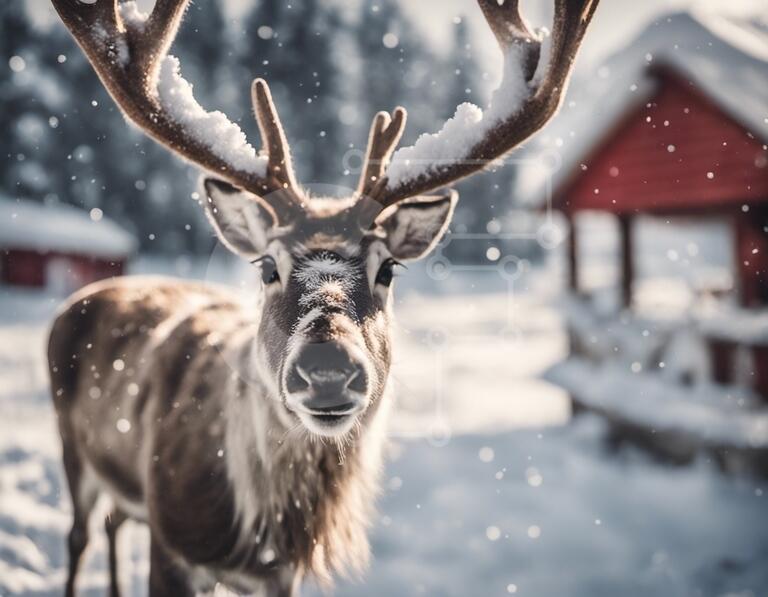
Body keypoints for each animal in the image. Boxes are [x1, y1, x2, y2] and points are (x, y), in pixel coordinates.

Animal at [46, 0, 599, 595]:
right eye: (268, 266)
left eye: (389, 268)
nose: (328, 370)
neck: (259, 533)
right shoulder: (171, 542)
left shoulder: (280, 575)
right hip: (72, 445)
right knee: (78, 536)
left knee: (111, 522)